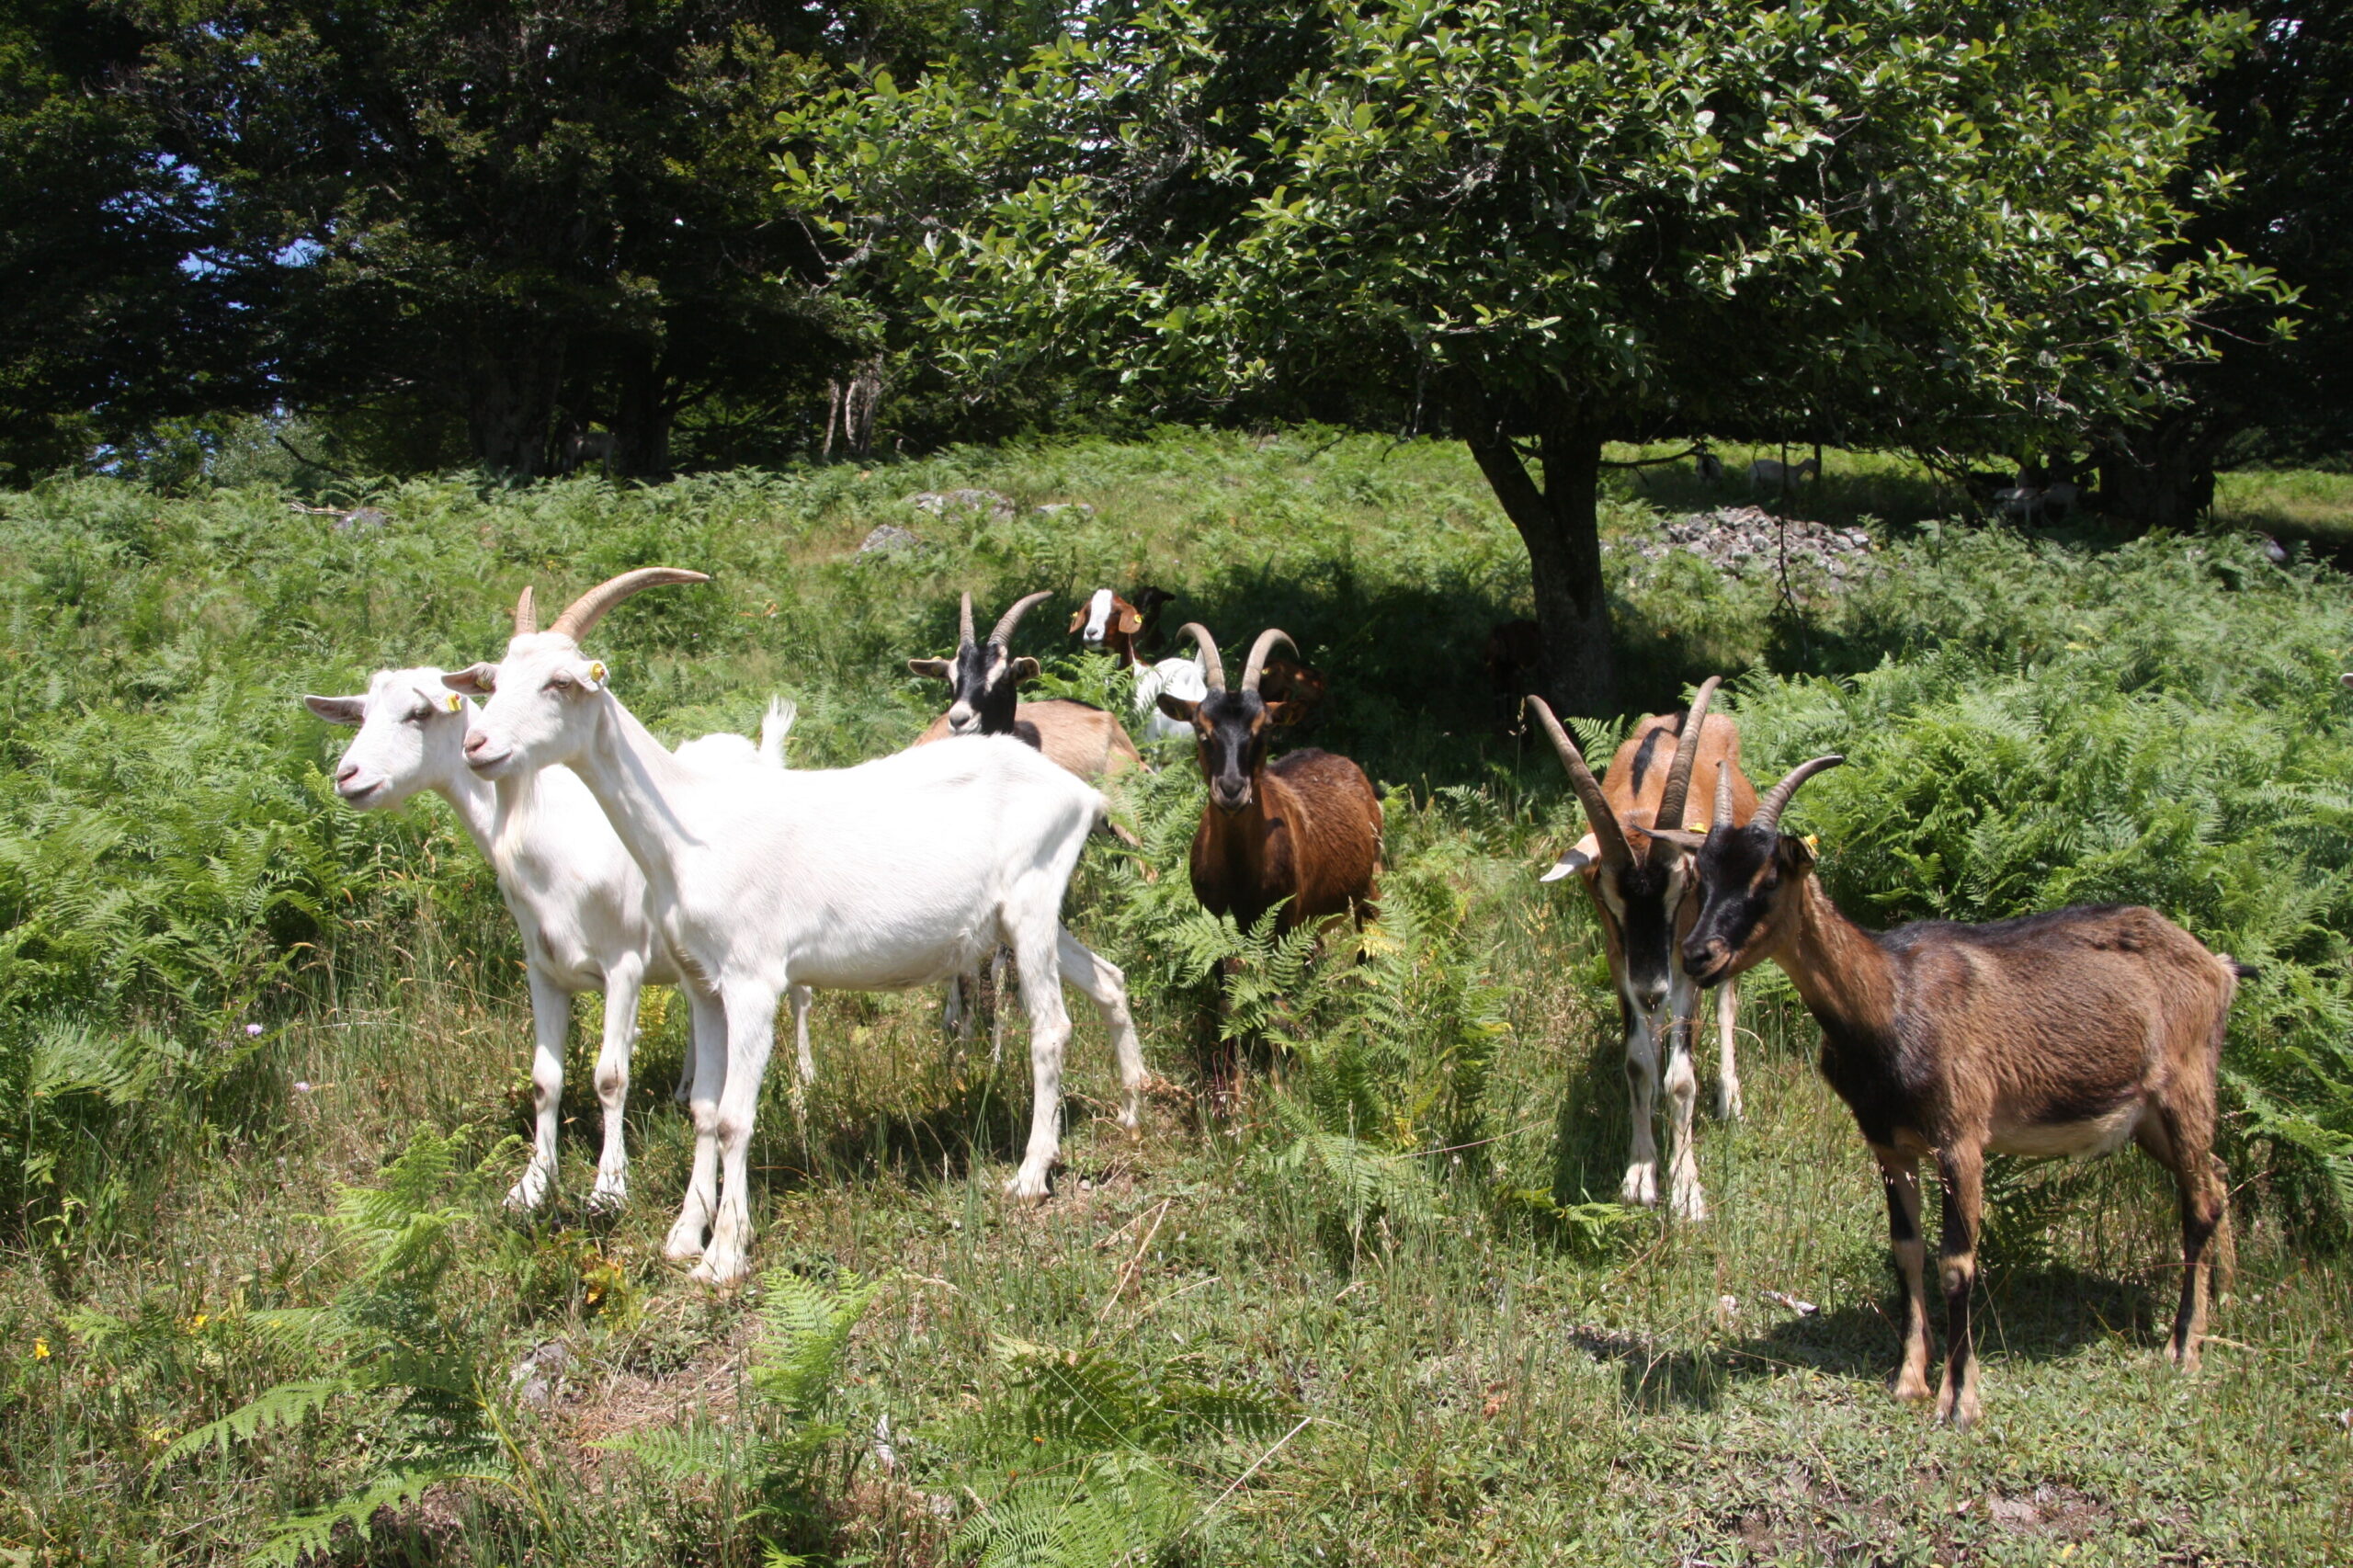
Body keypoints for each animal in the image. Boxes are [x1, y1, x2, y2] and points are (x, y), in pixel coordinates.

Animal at [304, 606, 811, 1214]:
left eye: (419, 712)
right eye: (360, 713)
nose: (347, 777)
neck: (550, 836)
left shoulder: (624, 963)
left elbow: (611, 1076)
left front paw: (608, 1188)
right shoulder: (542, 966)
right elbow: (545, 1079)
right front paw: (531, 1186)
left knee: (800, 997)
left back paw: (804, 1089)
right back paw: (688, 1086)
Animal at [1156, 624, 1381, 936]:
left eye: (1265, 729)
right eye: (1201, 729)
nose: (1231, 789)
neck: (1238, 878)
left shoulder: (1288, 923)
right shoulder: (1215, 919)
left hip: (1369, 887)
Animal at [1525, 680, 1753, 1220]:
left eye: (1684, 886)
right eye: (1604, 894)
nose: (1651, 988)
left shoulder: (1685, 965)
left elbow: (1681, 1078)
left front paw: (1686, 1190)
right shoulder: (1620, 960)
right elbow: (1637, 1063)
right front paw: (1640, 1175)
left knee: (1726, 1004)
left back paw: (1729, 1099)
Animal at [1653, 758, 2239, 1427]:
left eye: (1770, 876)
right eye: (1704, 874)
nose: (1698, 955)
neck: (1891, 1001)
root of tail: (2217, 967)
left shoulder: (1961, 1137)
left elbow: (1957, 1263)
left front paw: (1961, 1398)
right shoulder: (1886, 1141)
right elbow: (1907, 1251)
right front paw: (1909, 1378)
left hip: (2186, 1085)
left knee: (2200, 1201)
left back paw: (2183, 1349)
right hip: (2145, 1117)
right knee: (2217, 1179)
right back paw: (2221, 1309)